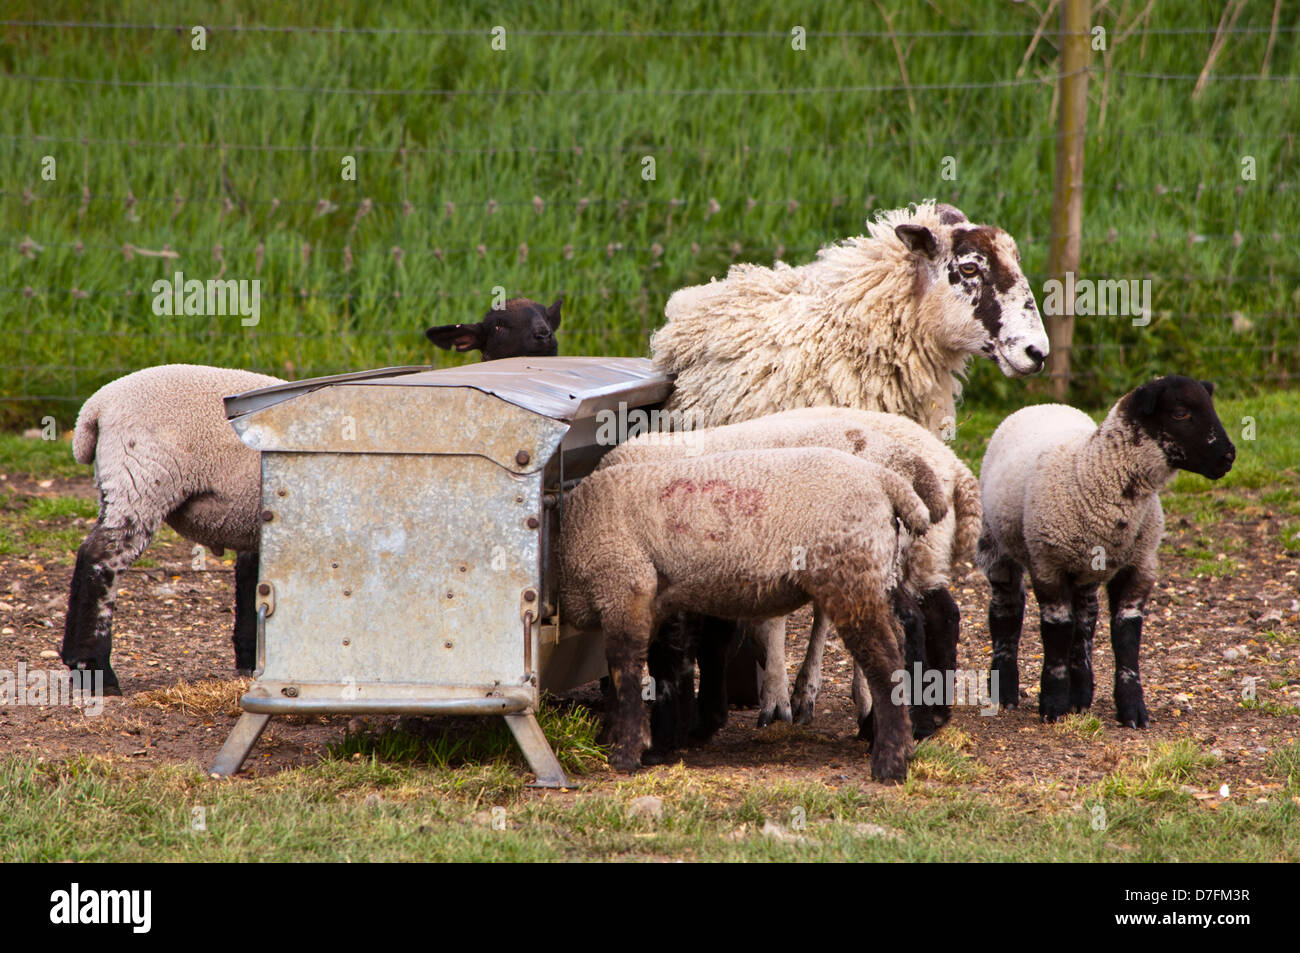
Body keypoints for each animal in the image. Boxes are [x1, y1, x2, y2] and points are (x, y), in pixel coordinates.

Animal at [560, 446, 933, 781]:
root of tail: (884, 480)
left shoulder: (625, 586)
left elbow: (625, 670)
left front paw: (625, 753)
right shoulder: (652, 601)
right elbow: (644, 670)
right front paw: (617, 739)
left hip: (851, 576)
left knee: (884, 662)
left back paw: (890, 764)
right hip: (880, 573)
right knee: (904, 632)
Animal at [977, 376, 1235, 727]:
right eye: (1180, 412)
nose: (1228, 456)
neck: (1093, 471)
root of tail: (1043, 404)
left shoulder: (1139, 565)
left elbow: (1126, 637)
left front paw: (1132, 709)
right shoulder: (1048, 564)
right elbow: (1056, 631)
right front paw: (1053, 704)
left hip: (1086, 570)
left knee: (1085, 619)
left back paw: (1081, 694)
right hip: (996, 545)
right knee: (1007, 610)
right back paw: (1004, 691)